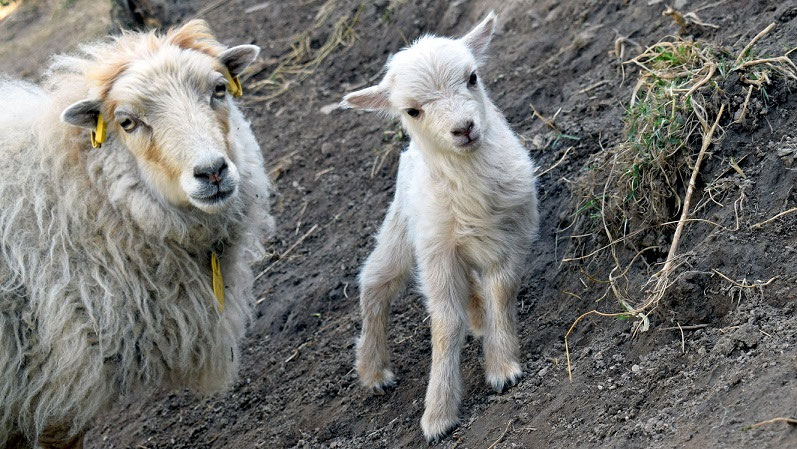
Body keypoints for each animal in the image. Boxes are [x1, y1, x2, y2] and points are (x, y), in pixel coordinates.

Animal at [342, 12, 539, 442]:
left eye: (472, 77)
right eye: (412, 111)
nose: (464, 128)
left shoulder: (514, 233)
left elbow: (501, 292)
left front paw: (502, 366)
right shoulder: (436, 252)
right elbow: (445, 325)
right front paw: (438, 415)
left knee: (472, 291)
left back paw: (480, 324)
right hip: (401, 230)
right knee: (373, 282)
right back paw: (373, 370)